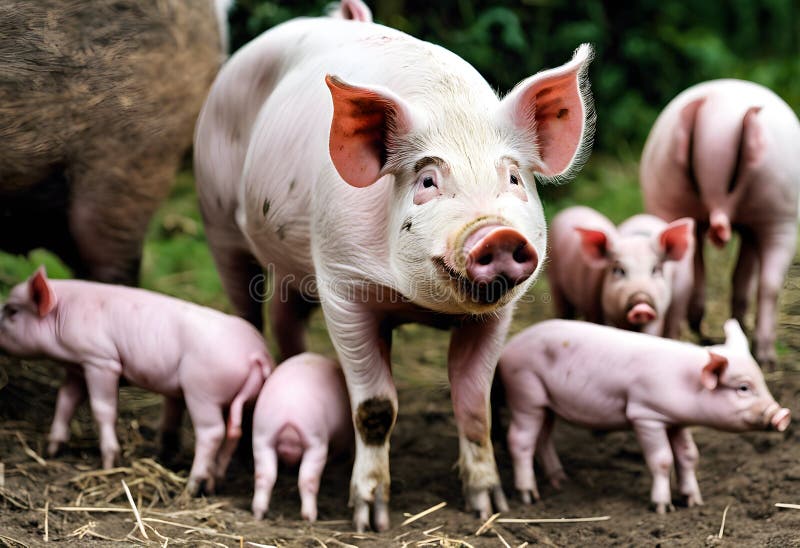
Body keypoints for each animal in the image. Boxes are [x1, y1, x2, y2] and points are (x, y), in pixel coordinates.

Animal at [0, 267, 273, 495]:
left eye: (12, 312)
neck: (64, 314)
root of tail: (257, 353)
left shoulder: (101, 360)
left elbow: (103, 408)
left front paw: (110, 462)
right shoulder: (78, 367)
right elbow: (65, 399)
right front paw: (52, 450)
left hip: (202, 391)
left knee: (212, 432)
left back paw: (191, 488)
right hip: (234, 400)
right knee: (234, 432)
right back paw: (213, 483)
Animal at [252, 353, 353, 522]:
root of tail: (289, 409)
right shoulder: (343, 435)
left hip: (262, 435)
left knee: (264, 475)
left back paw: (258, 513)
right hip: (315, 439)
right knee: (308, 479)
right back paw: (310, 516)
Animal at [498, 319, 791, 513]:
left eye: (761, 380)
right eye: (743, 388)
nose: (783, 414)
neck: (686, 384)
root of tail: (509, 346)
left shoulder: (677, 422)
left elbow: (689, 456)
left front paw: (694, 502)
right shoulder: (646, 414)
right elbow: (662, 459)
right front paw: (663, 508)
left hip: (548, 404)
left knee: (543, 438)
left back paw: (561, 481)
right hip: (525, 392)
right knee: (519, 439)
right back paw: (529, 497)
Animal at [548, 206, 694, 338]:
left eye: (655, 270)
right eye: (618, 270)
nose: (641, 300)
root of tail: (569, 211)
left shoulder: (657, 315)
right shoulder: (599, 310)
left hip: (681, 295)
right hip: (554, 280)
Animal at [640, 79, 800, 367]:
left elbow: (740, 272)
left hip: (665, 196)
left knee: (686, 274)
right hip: (782, 212)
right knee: (770, 282)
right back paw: (766, 358)